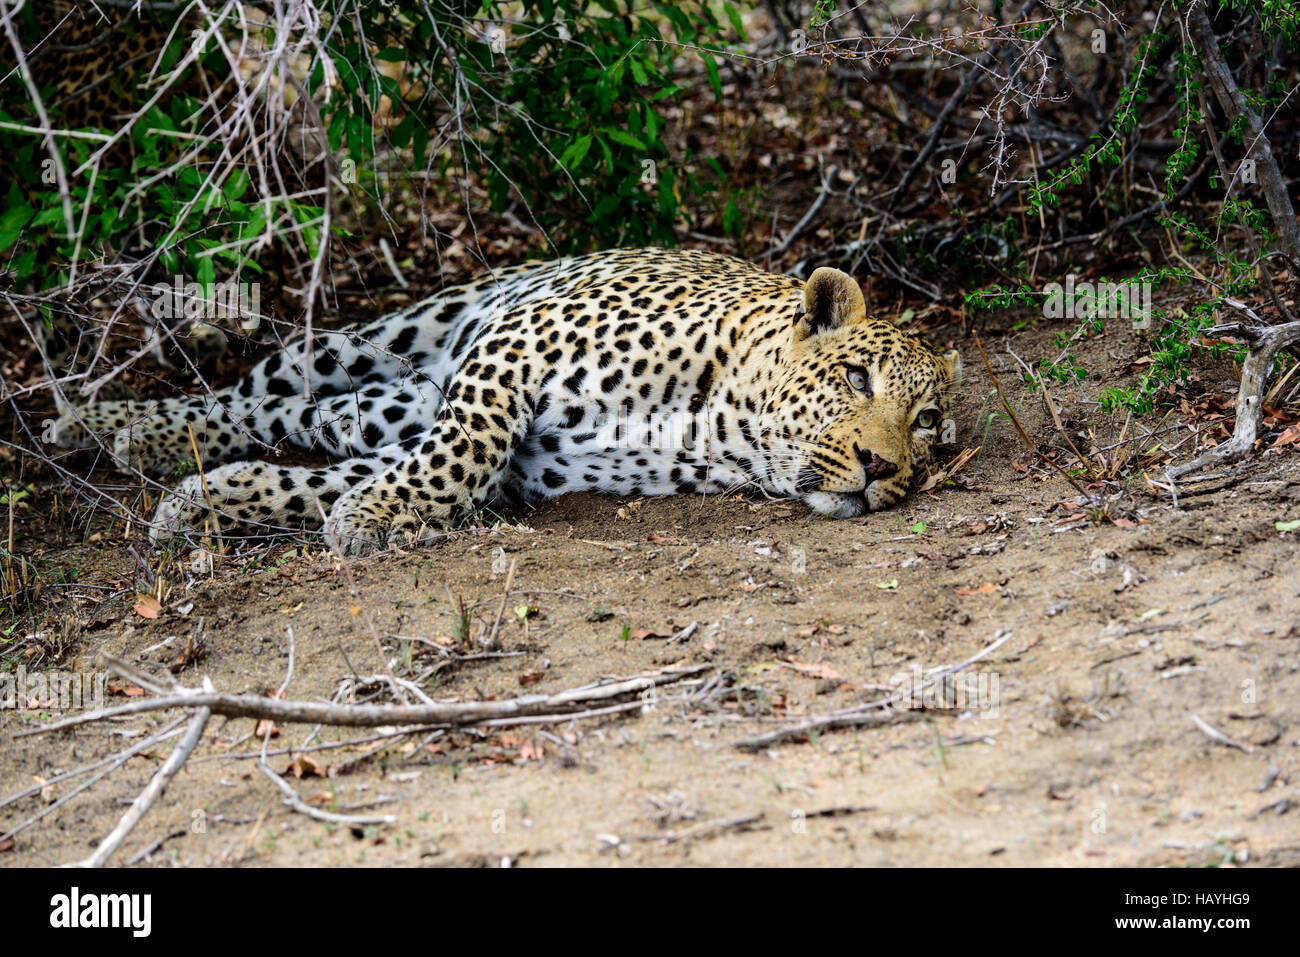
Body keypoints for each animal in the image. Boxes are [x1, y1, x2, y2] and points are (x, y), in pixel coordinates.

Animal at [48, 248, 961, 553]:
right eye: (857, 379)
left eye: (926, 427)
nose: (882, 466)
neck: (724, 422)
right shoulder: (515, 350)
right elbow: (462, 449)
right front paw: (375, 517)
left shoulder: (527, 471)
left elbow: (323, 483)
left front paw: (213, 503)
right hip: (383, 335)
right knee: (254, 393)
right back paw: (103, 422)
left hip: (391, 403)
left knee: (303, 422)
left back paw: (151, 459)